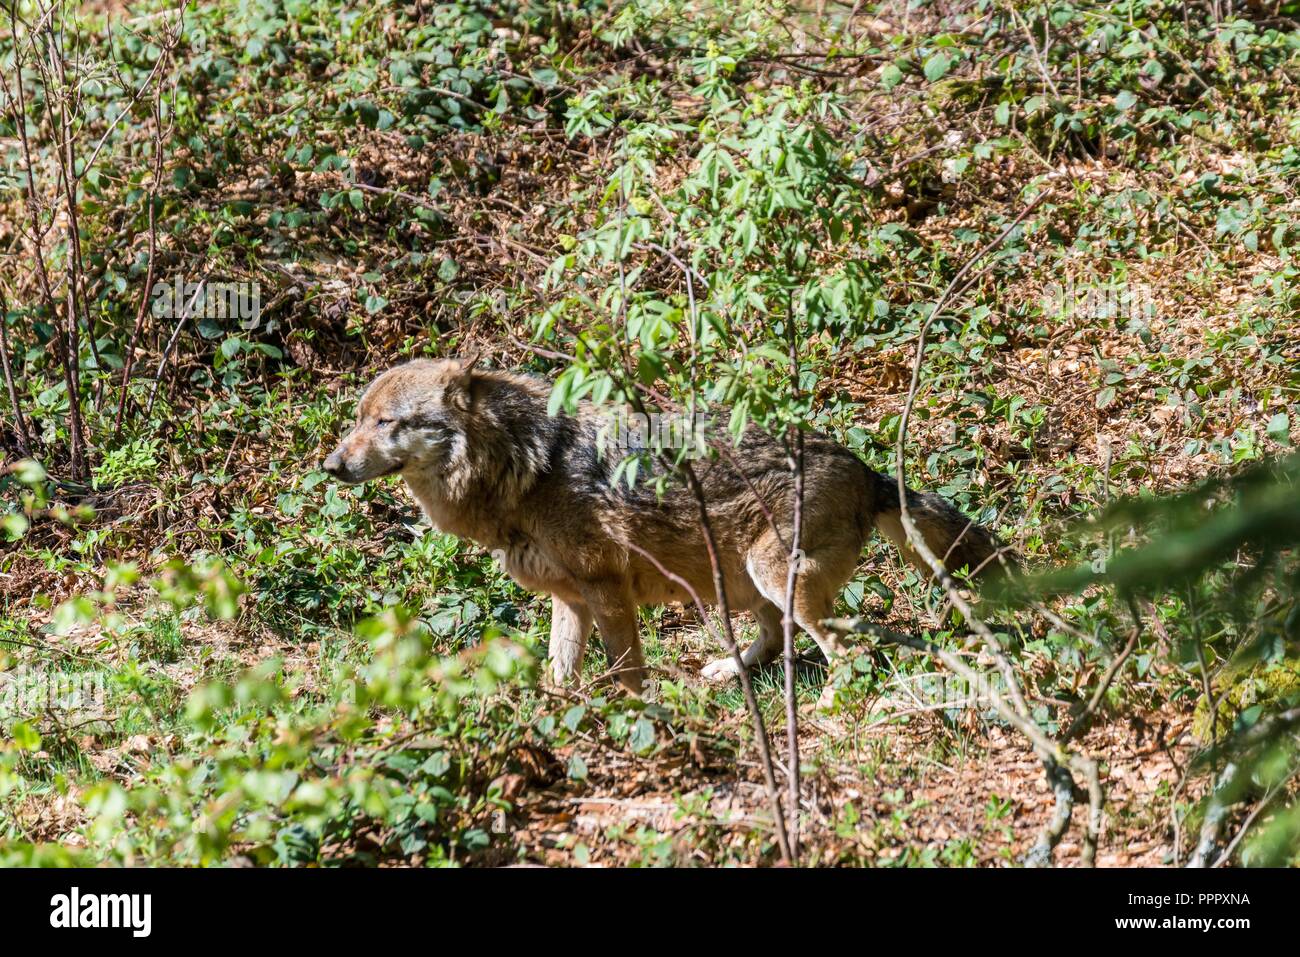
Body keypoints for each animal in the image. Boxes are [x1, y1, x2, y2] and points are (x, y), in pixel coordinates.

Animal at [323, 356, 1007, 694]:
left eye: (386, 423)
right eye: (357, 420)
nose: (330, 465)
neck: (525, 467)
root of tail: (867, 469)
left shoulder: (607, 591)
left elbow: (628, 671)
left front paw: (636, 722)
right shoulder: (570, 600)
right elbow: (560, 672)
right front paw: (558, 719)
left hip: (770, 573)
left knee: (847, 652)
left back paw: (832, 705)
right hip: (738, 580)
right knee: (777, 639)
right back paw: (728, 673)